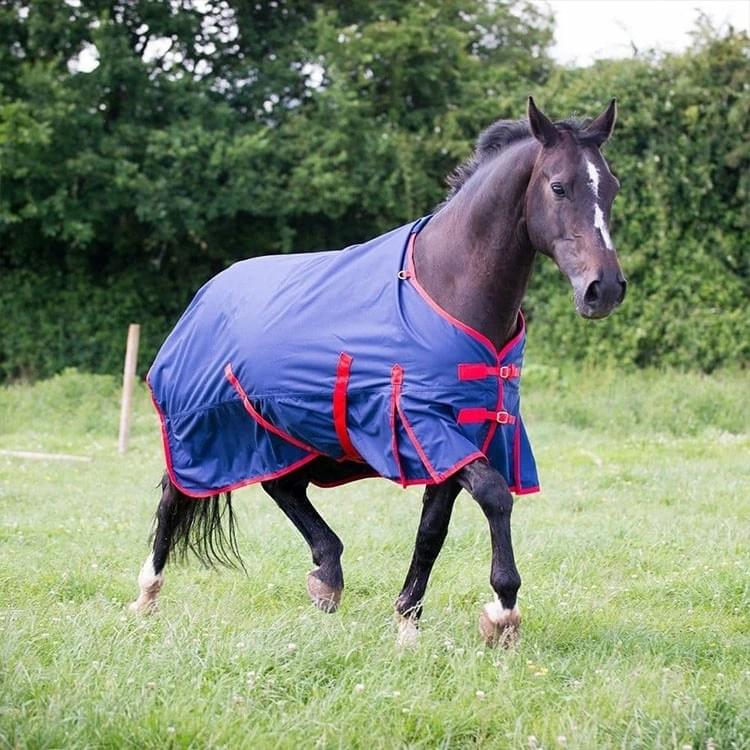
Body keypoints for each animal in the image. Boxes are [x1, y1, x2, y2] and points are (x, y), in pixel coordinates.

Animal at [130, 98, 626, 648]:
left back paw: (327, 576)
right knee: (175, 497)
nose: (604, 289)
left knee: (282, 487)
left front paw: (408, 619)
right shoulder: (427, 426)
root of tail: (207, 293)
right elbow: (496, 495)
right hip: (204, 427)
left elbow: (432, 530)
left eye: (611, 187)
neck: (444, 284)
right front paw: (502, 612)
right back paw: (147, 596)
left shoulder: (459, 436)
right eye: (558, 186)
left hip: (286, 436)